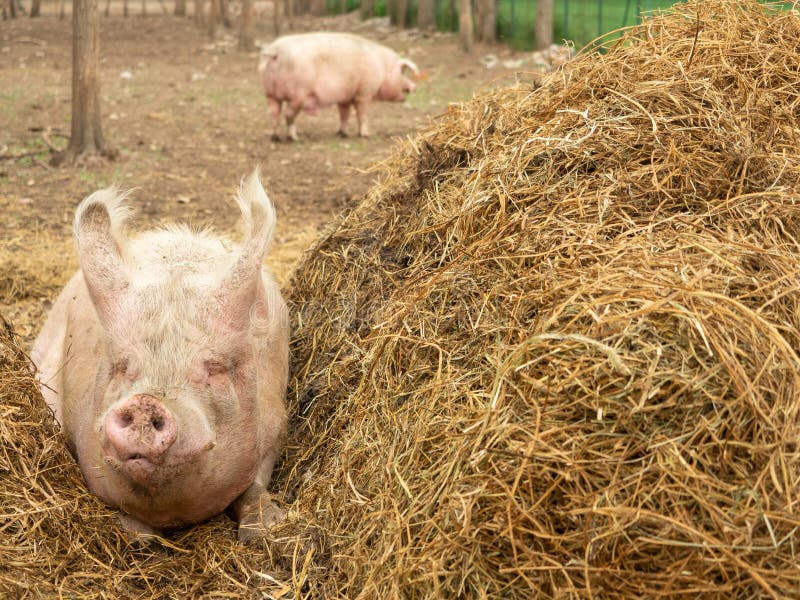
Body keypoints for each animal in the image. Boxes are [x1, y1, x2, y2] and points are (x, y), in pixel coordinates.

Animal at [31, 171, 289, 543]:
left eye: (215, 368)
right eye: (120, 367)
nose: (145, 402)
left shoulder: (275, 427)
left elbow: (255, 485)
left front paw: (266, 531)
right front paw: (140, 539)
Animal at [258, 32, 419, 141]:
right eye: (402, 71)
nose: (414, 86)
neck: (383, 67)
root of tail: (275, 52)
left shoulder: (345, 97)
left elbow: (344, 114)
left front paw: (343, 134)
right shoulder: (364, 92)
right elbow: (362, 114)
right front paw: (366, 135)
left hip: (270, 94)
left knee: (274, 114)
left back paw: (275, 137)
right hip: (299, 94)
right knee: (288, 114)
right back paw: (293, 138)